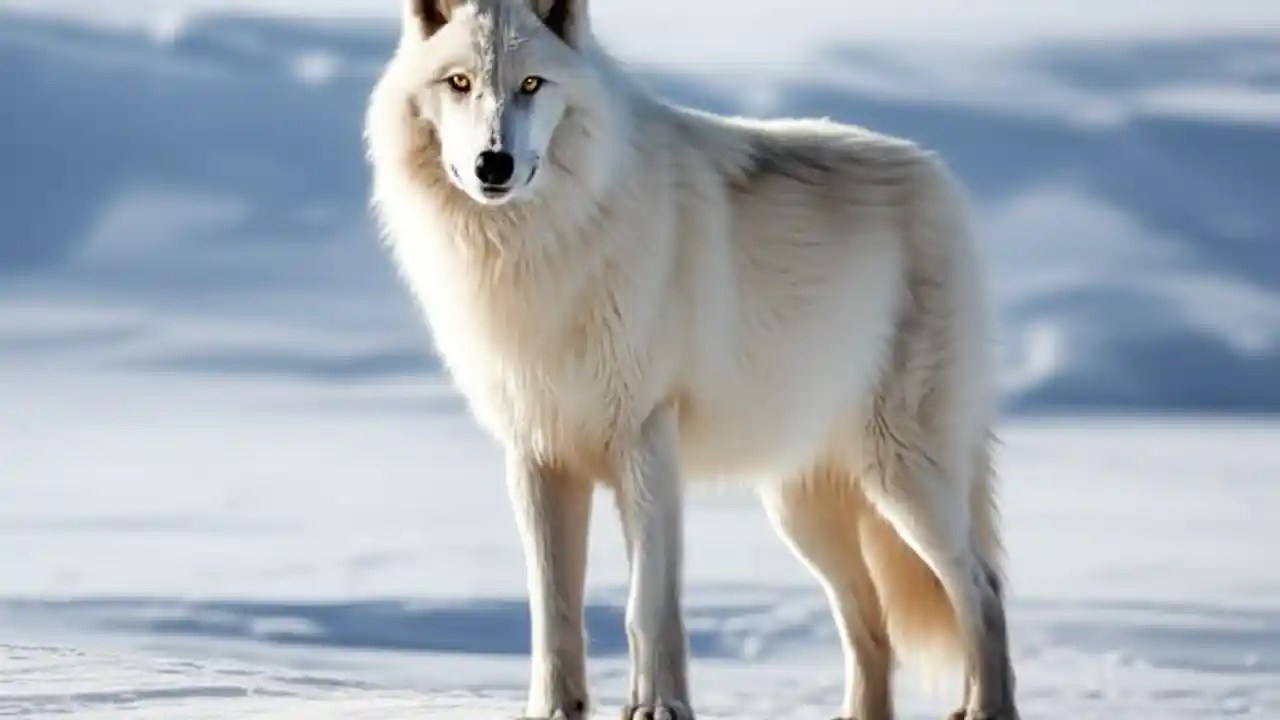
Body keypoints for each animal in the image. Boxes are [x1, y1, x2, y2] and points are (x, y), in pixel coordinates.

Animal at [366, 1, 1018, 718]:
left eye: (532, 84)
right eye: (459, 83)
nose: (493, 163)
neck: (533, 250)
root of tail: (939, 176)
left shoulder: (646, 439)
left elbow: (647, 604)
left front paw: (659, 707)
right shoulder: (538, 455)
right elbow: (553, 611)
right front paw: (555, 709)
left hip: (902, 477)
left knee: (981, 587)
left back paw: (988, 705)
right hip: (801, 507)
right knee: (870, 622)